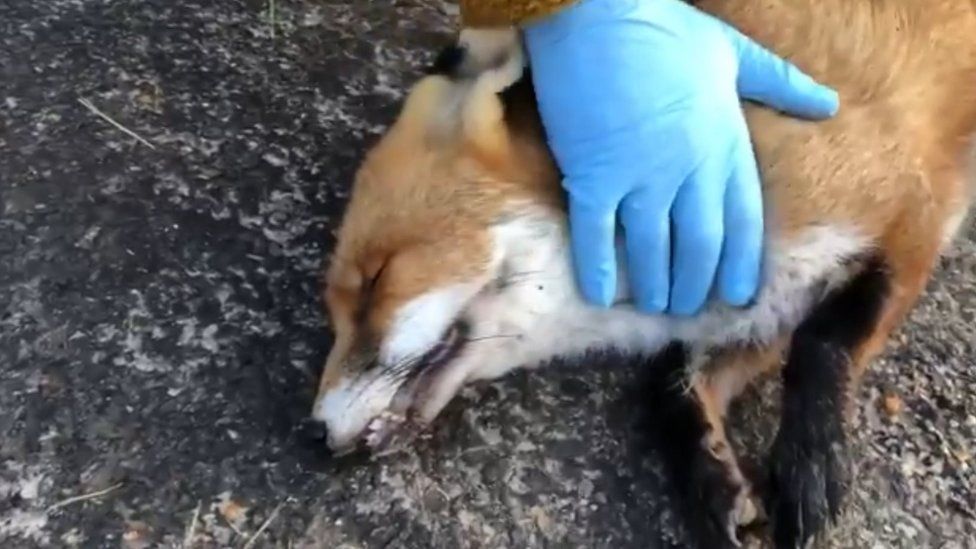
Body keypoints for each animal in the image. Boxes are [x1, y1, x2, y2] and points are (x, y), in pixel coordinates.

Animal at [302, 1, 976, 548]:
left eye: (376, 278)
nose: (314, 432)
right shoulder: (752, 296)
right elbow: (671, 386)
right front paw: (713, 481)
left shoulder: (909, 215)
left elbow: (826, 343)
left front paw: (811, 463)